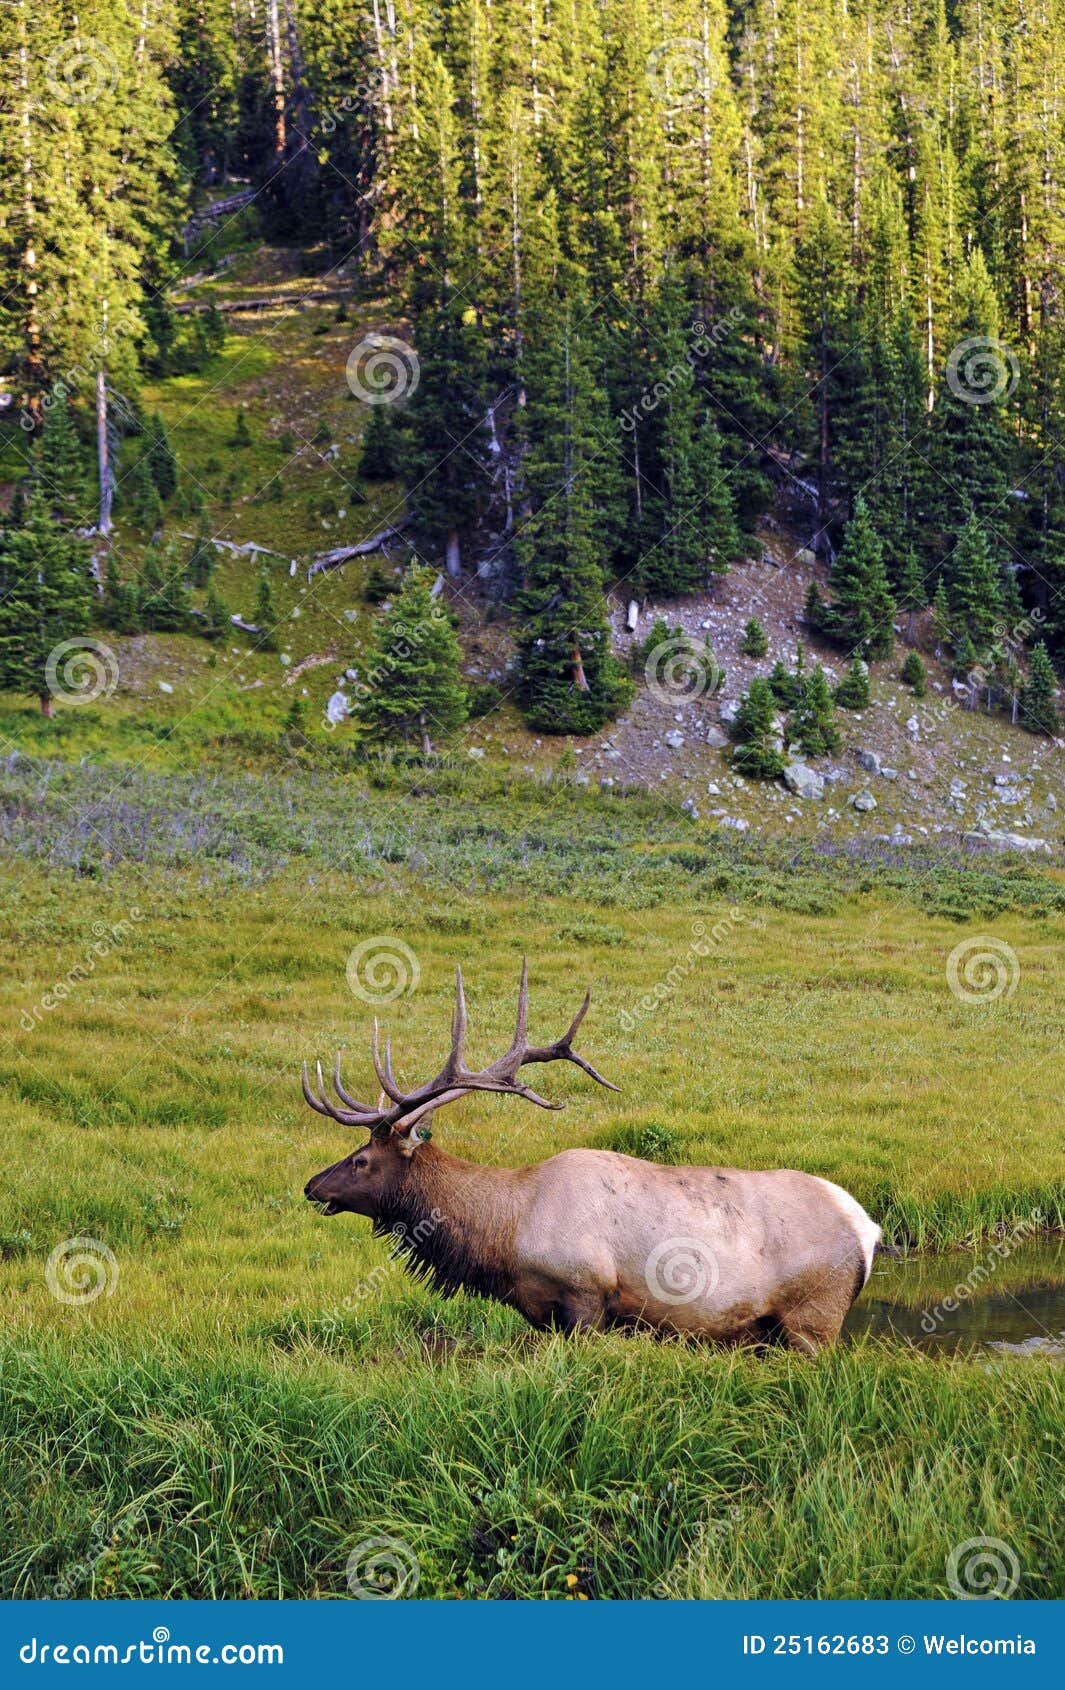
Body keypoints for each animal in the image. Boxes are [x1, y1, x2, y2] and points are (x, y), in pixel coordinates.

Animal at [302, 963, 882, 1352]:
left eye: (361, 1160)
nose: (310, 1186)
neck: (508, 1232)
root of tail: (869, 1229)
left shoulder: (585, 1297)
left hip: (814, 1319)